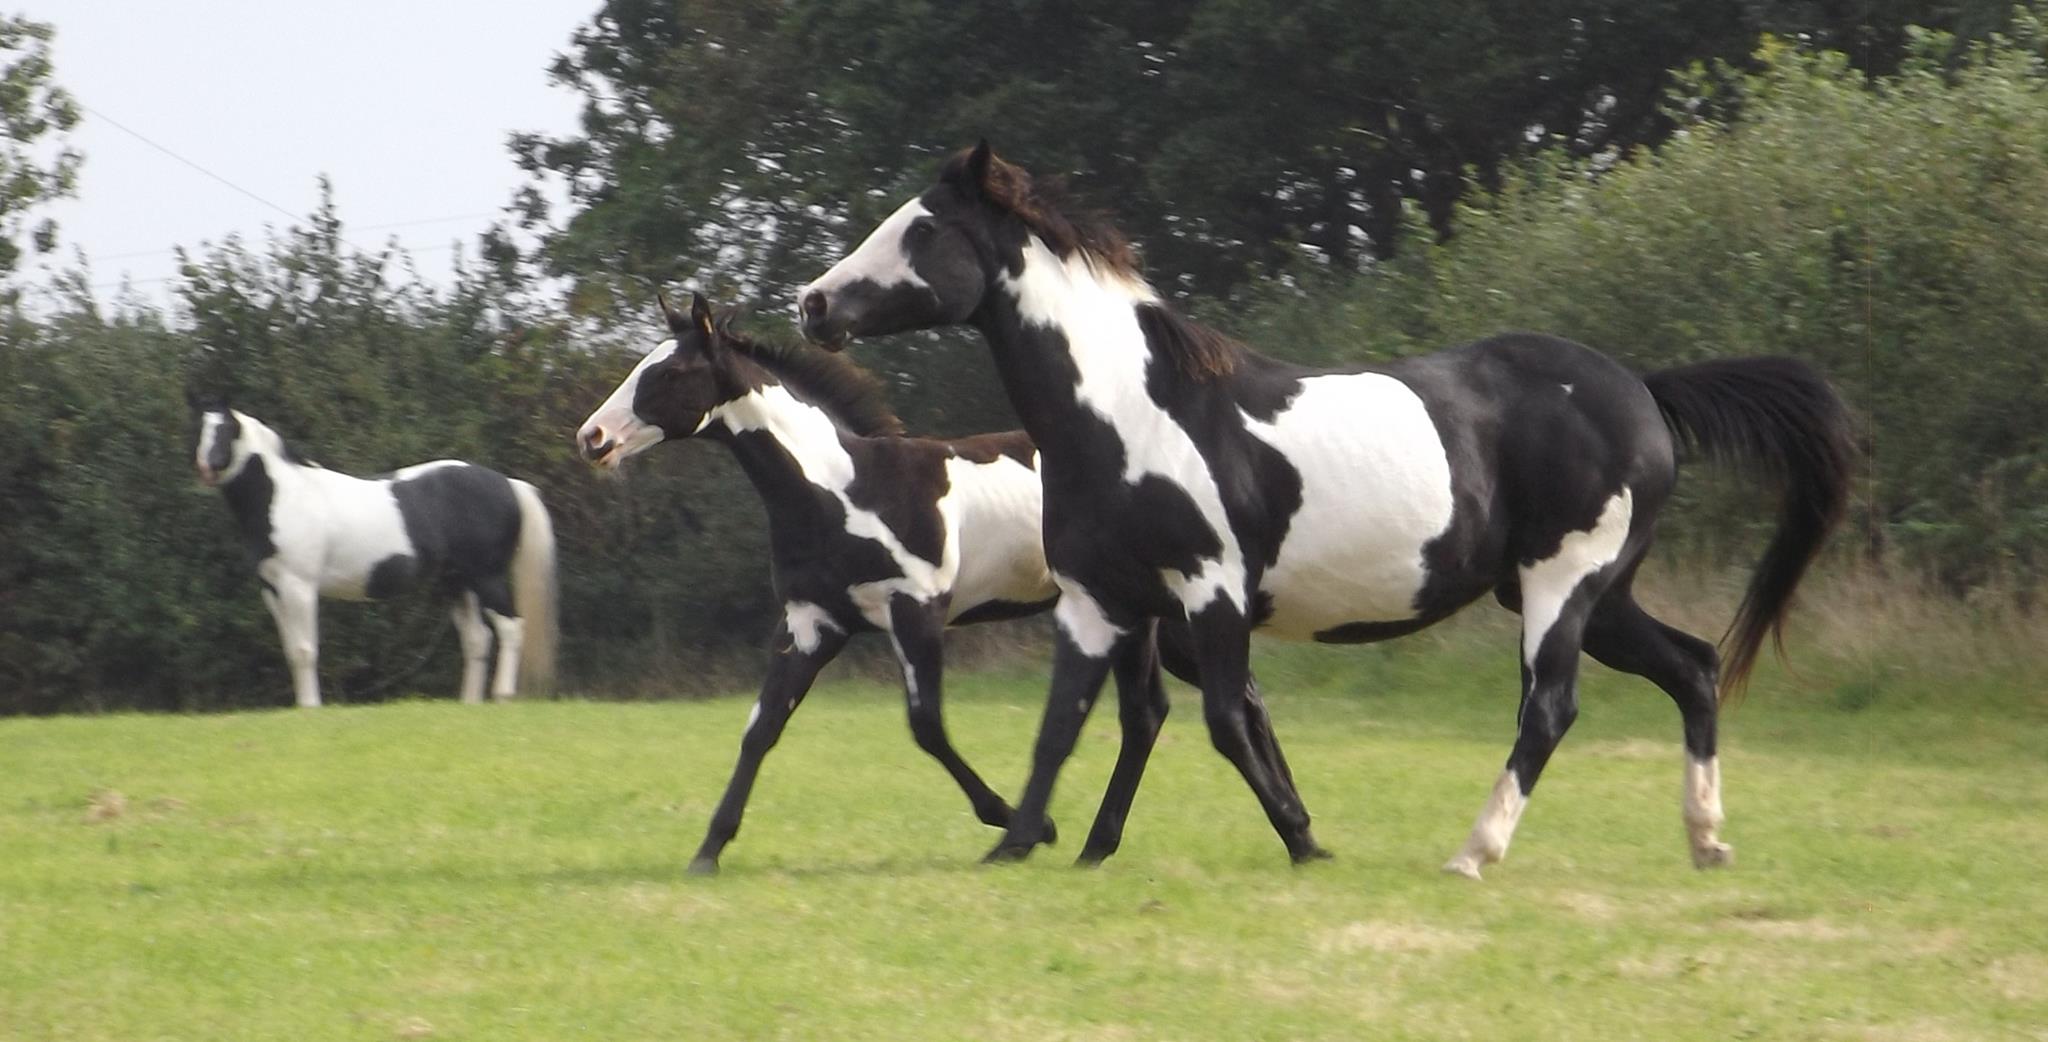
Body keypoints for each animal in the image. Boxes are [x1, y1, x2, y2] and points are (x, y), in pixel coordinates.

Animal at [191, 400, 558, 708]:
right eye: (202, 431)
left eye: (226, 431)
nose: (205, 467)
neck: (285, 496)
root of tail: (509, 483)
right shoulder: (272, 589)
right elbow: (292, 652)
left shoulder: (300, 588)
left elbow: (306, 650)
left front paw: (310, 707)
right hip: (458, 584)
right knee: (478, 640)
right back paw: (469, 703)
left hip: (487, 578)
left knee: (511, 628)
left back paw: (502, 695)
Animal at [575, 291, 1299, 872]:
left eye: (671, 372)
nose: (593, 437)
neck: (841, 489)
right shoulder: (813, 623)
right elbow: (761, 728)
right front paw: (707, 851)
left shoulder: (915, 610)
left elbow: (926, 726)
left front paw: (1028, 825)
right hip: (1153, 620)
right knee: (1200, 706)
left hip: (1163, 614)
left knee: (1201, 706)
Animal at [795, 142, 1855, 877]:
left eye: (921, 231)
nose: (813, 304)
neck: (1133, 413)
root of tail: (1640, 390)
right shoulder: (1101, 601)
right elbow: (1062, 726)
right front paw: (1022, 844)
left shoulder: (1211, 589)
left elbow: (1226, 721)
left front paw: (1305, 843)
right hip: (1590, 593)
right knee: (1694, 667)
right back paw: (1707, 843)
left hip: (1564, 583)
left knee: (1549, 708)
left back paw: (1474, 854)